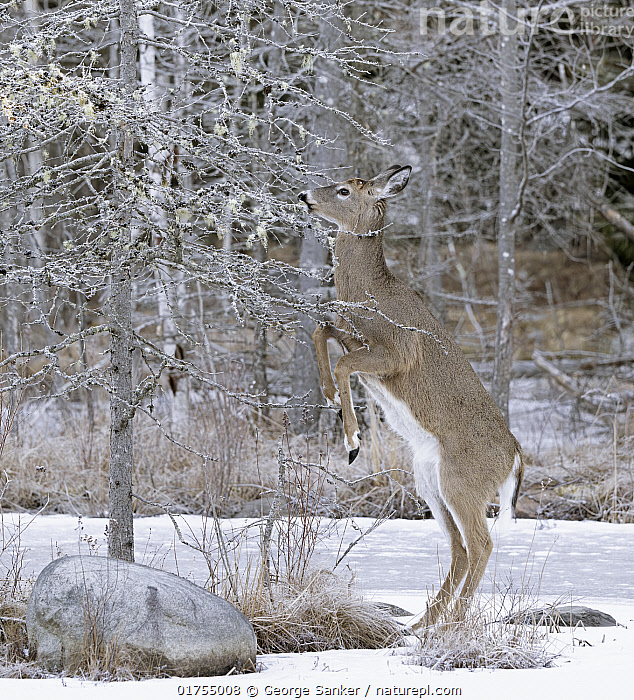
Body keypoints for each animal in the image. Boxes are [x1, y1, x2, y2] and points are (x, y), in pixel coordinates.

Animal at [298, 165, 523, 628]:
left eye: (344, 190)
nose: (304, 195)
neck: (370, 294)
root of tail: (514, 456)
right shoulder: (354, 337)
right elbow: (321, 329)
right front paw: (329, 397)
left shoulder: (397, 352)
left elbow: (342, 360)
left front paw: (352, 441)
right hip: (430, 482)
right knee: (459, 546)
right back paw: (421, 623)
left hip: (463, 482)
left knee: (481, 543)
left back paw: (450, 624)